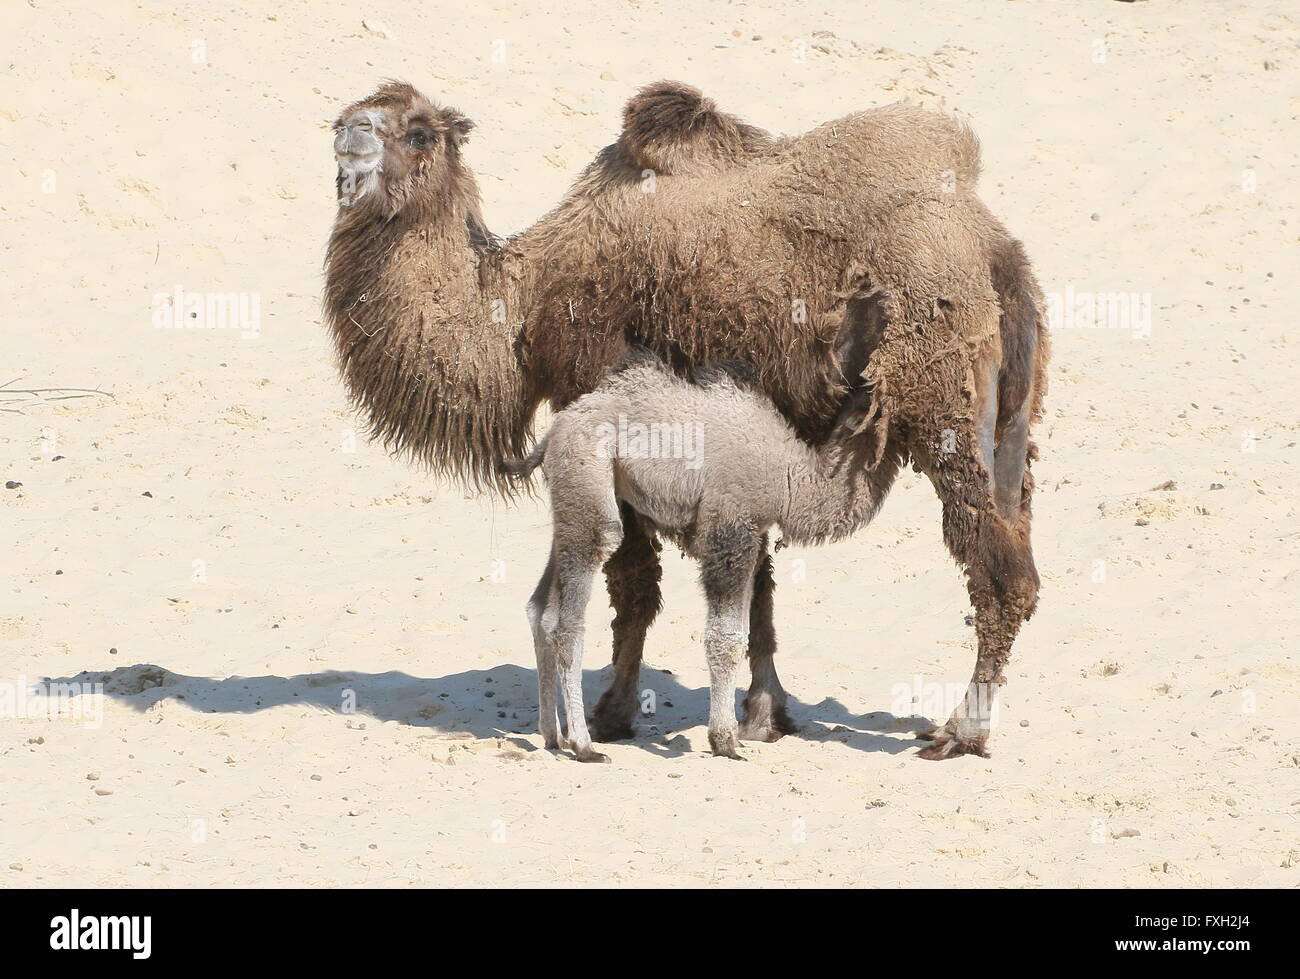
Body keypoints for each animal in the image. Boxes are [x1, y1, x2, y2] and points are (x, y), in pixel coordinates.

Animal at [504, 354, 891, 762]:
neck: (788, 477)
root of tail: (552, 433)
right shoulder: (729, 529)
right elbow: (727, 636)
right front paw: (726, 741)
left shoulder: (752, 537)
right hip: (588, 479)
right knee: (569, 614)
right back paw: (583, 745)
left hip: (573, 501)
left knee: (541, 609)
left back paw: (551, 736)